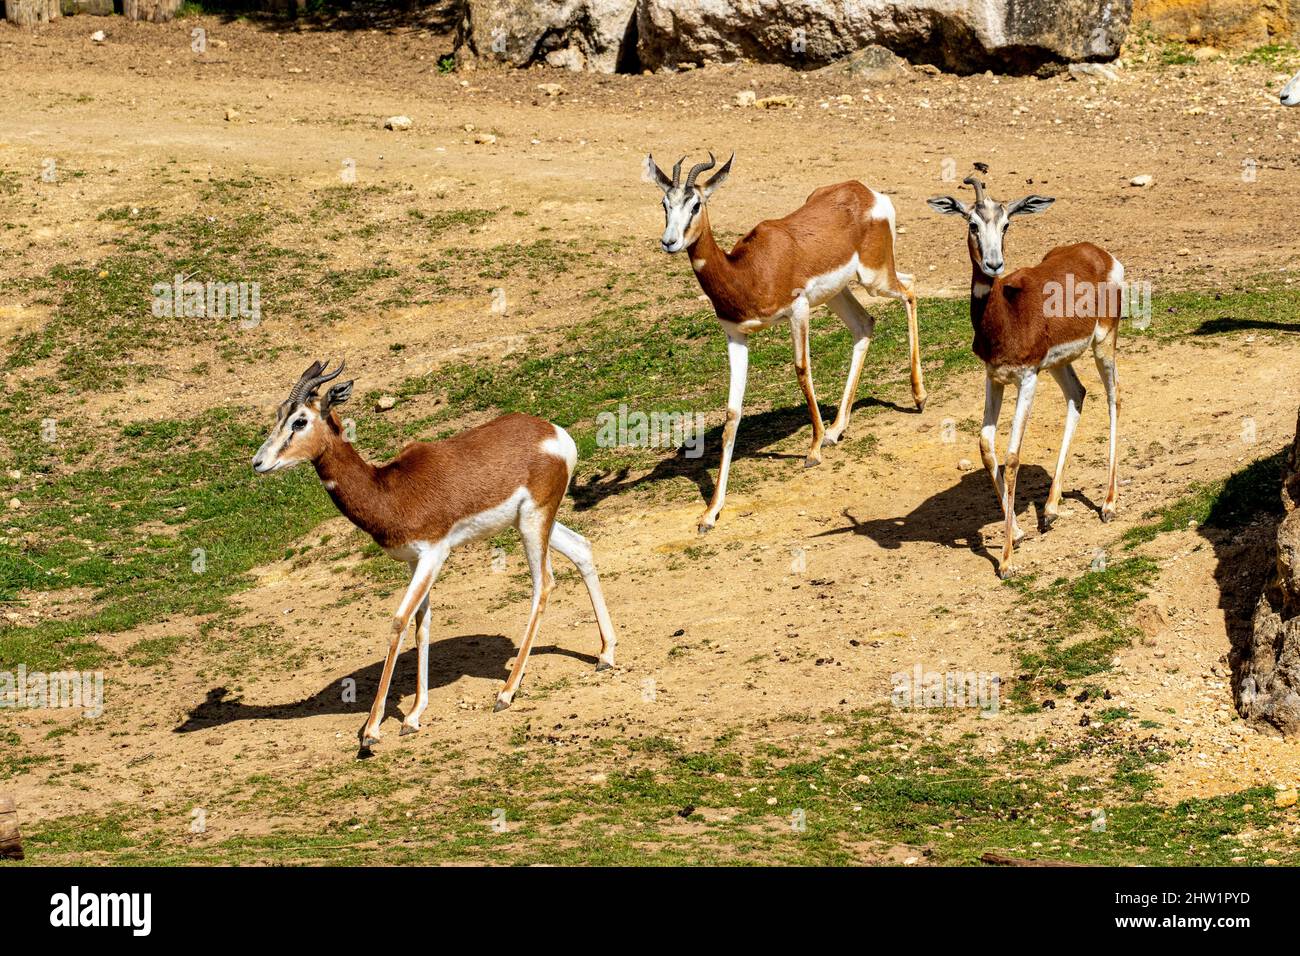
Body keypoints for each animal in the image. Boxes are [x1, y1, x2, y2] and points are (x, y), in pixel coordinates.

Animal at [252, 360, 617, 747]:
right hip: (532, 521)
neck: (389, 491)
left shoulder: (434, 554)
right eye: (279, 414)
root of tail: (554, 432)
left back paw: (506, 693)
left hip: (534, 522)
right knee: (581, 549)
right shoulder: (414, 561)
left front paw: (371, 730)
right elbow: (421, 625)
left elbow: (399, 621)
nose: (258, 462)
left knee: (544, 583)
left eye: (300, 421)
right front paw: (413, 715)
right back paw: (605, 654)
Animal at [644, 151, 927, 533]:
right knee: (864, 324)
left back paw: (918, 397)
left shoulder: (798, 309)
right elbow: (732, 413)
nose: (670, 242)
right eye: (665, 203)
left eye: (695, 204)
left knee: (910, 289)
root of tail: (866, 192)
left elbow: (802, 371)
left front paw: (813, 450)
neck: (746, 272)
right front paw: (710, 512)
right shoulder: (735, 335)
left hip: (874, 276)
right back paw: (837, 429)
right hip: (840, 292)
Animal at [928, 173, 1123, 578]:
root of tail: (1098, 253)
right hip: (1059, 363)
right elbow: (986, 446)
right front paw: (1016, 532)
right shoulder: (994, 377)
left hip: (1104, 344)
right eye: (972, 223)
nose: (993, 264)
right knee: (1077, 395)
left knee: (1114, 398)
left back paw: (1109, 505)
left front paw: (1005, 561)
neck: (1006, 315)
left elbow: (1014, 455)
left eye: (1006, 224)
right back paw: (1049, 511)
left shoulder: (1027, 378)